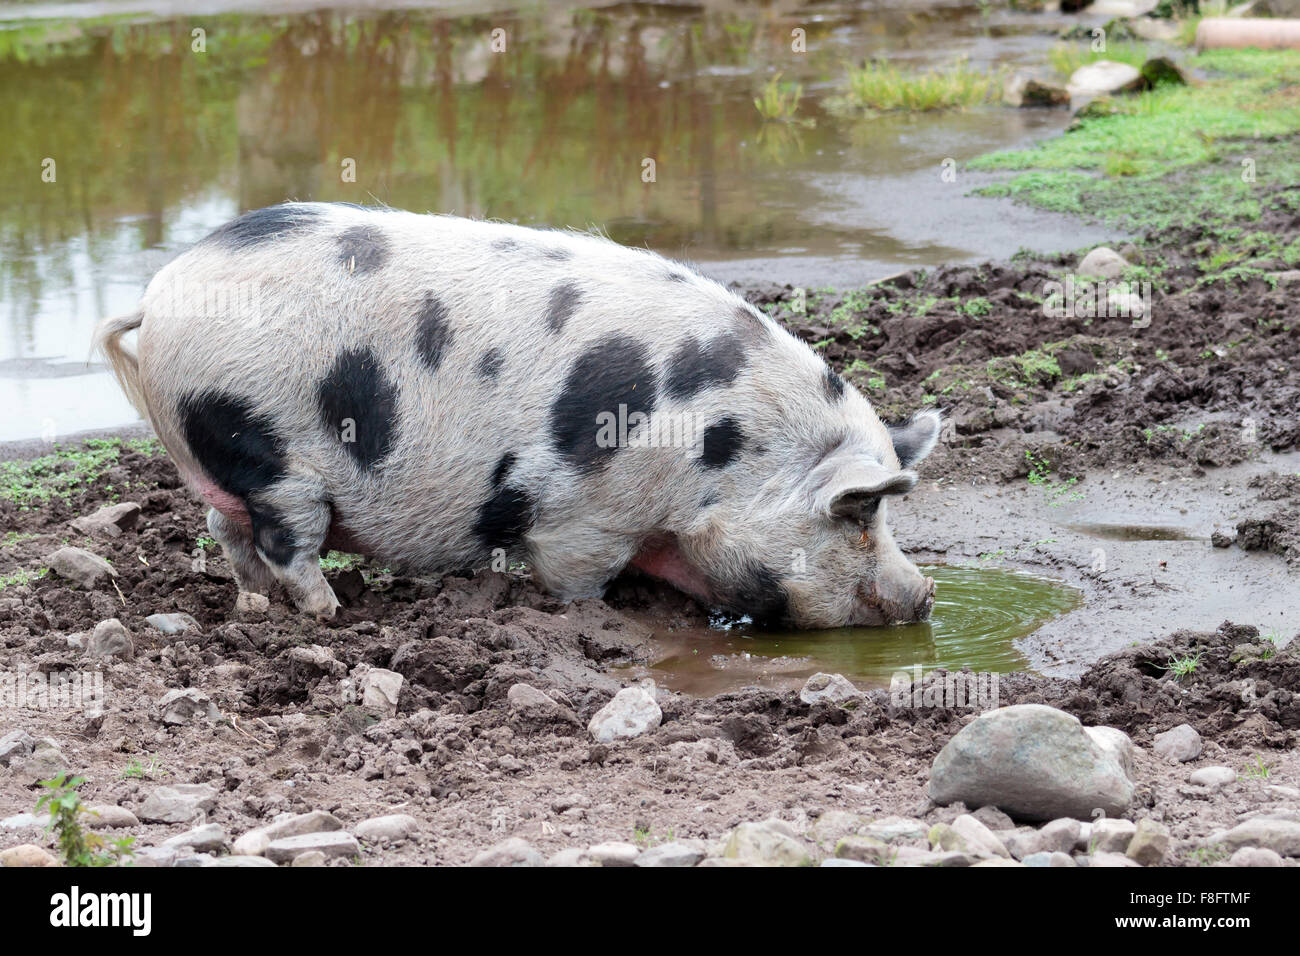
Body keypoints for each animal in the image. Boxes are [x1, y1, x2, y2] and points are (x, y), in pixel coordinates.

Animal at [94, 202, 939, 628]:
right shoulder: (586, 516)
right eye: (860, 515)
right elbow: (577, 580)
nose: (925, 594)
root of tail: (161, 293)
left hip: (224, 452)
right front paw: (594, 617)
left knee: (227, 532)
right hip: (266, 446)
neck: (724, 452)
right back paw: (334, 614)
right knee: (285, 543)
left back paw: (249, 605)